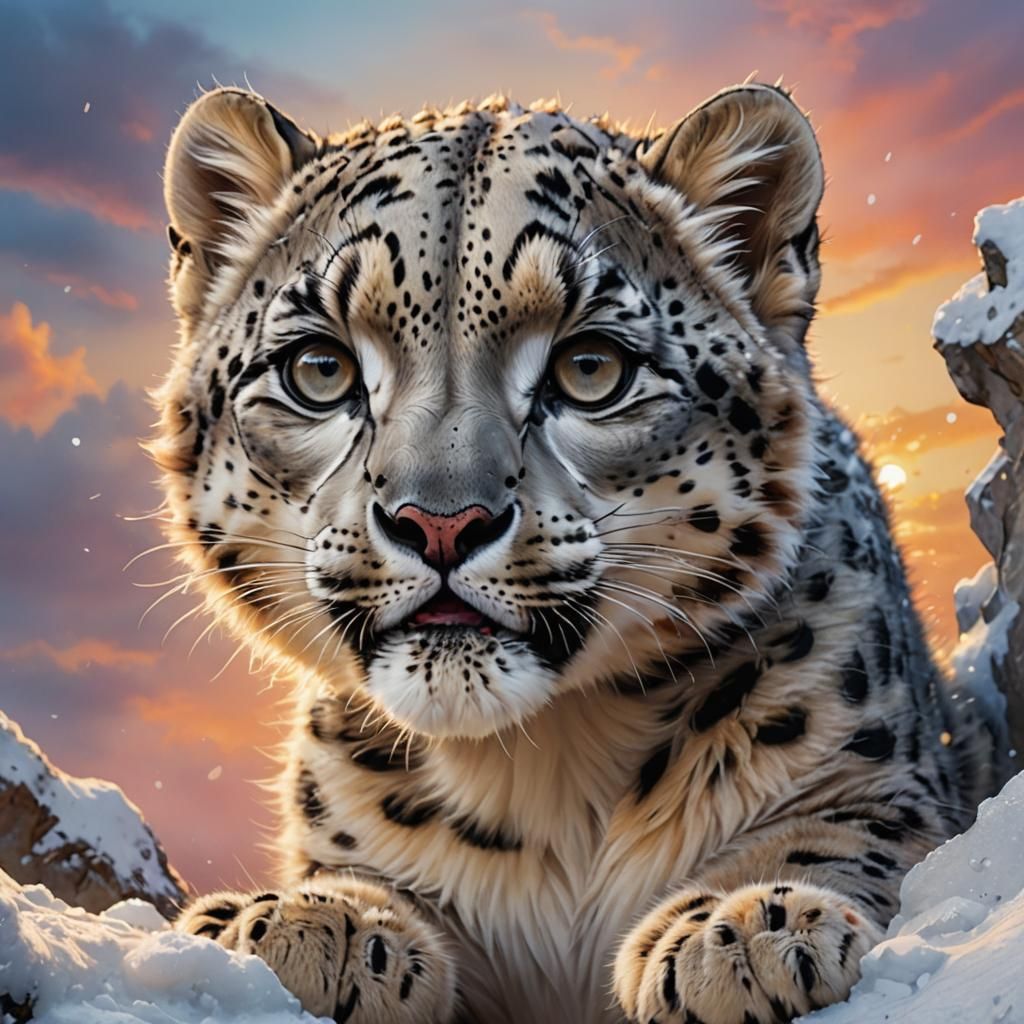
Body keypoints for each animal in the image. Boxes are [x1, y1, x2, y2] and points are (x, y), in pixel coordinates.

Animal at [150, 83, 997, 1023]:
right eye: (319, 369)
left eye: (591, 368)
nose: (439, 522)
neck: (538, 774)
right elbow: (363, 875)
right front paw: (300, 921)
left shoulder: (885, 791)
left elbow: (847, 838)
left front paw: (749, 928)